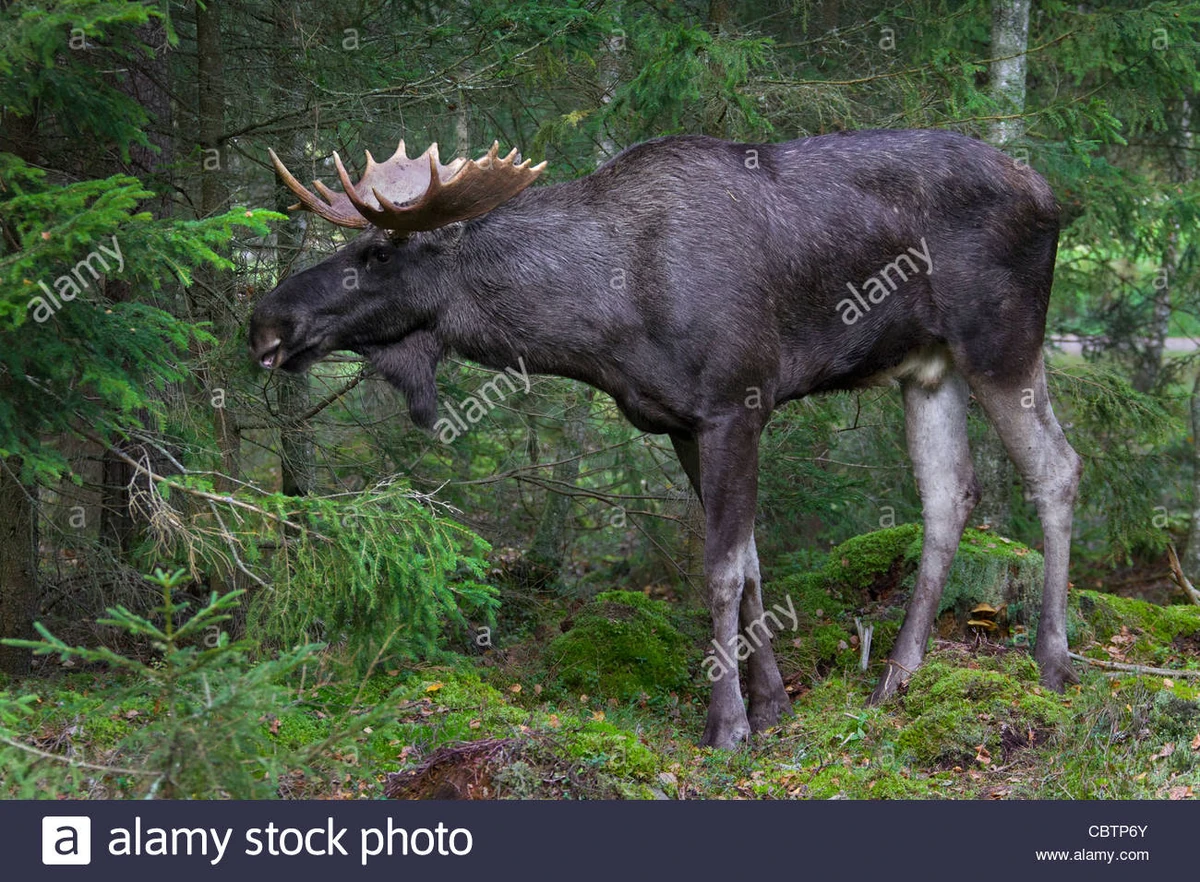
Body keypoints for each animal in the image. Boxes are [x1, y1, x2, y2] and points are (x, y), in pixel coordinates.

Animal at [249, 130, 1082, 749]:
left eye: (377, 253)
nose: (266, 323)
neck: (601, 323)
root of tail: (1053, 197)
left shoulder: (736, 402)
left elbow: (719, 570)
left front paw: (728, 724)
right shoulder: (684, 423)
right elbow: (751, 564)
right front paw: (773, 703)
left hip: (1001, 338)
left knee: (1058, 468)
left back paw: (1052, 660)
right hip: (928, 365)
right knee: (950, 493)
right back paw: (898, 675)